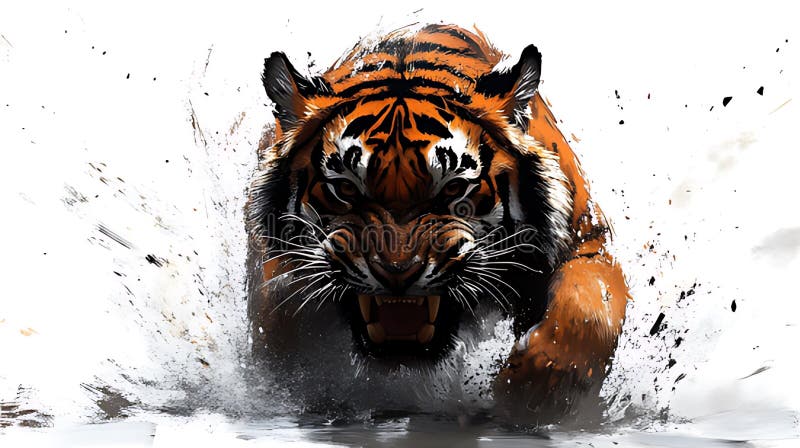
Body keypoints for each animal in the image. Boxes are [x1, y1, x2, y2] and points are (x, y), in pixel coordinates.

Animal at [246, 24, 630, 418]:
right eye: (345, 188)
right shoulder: (275, 283)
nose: (396, 273)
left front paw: (535, 393)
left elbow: (587, 309)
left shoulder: (585, 239)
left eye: (454, 187)